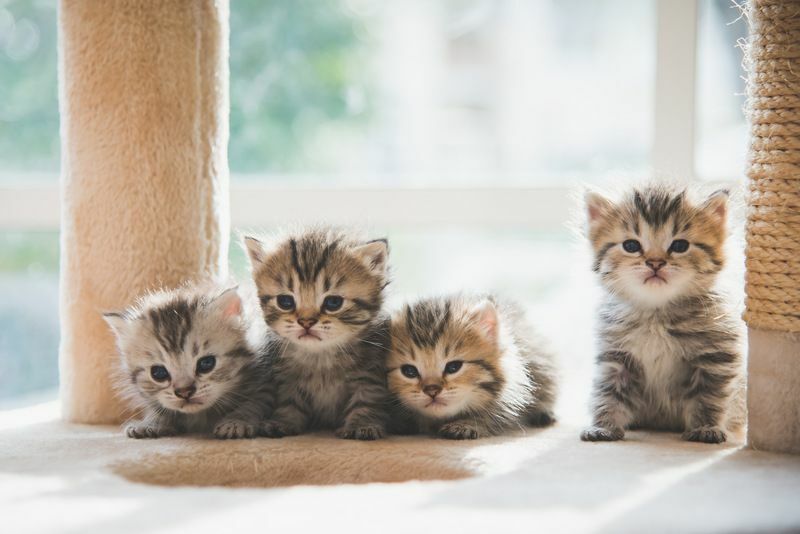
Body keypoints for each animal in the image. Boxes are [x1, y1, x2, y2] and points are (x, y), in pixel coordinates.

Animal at [103, 284, 276, 440]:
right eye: (158, 373)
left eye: (206, 364)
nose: (184, 392)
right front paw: (151, 422)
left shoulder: (266, 382)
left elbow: (254, 403)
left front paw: (236, 421)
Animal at [245, 228, 392, 442]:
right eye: (285, 301)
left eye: (333, 303)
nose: (306, 322)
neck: (320, 356)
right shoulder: (288, 379)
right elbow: (290, 401)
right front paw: (283, 421)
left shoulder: (369, 374)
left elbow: (366, 400)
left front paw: (361, 424)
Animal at [580, 186, 744, 446]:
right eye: (631, 245)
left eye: (679, 246)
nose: (655, 263)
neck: (656, 313)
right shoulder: (616, 358)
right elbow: (608, 394)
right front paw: (603, 426)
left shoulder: (715, 358)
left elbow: (709, 397)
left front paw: (706, 427)